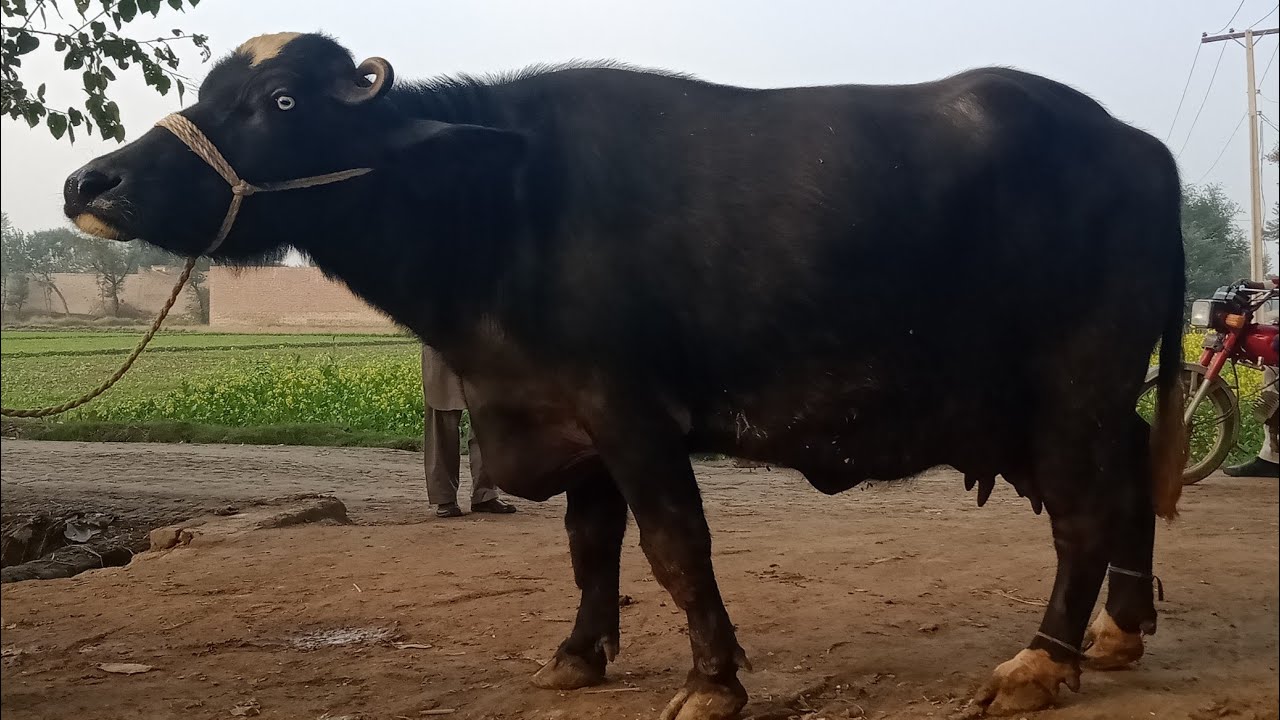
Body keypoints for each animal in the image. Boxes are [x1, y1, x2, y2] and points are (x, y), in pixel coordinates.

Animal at [64, 32, 1186, 719]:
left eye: (283, 99)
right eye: (209, 94)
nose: (90, 181)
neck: (499, 202)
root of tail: (1137, 146)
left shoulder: (630, 411)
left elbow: (673, 546)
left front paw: (711, 681)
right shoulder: (572, 417)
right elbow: (588, 548)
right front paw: (577, 654)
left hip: (1073, 383)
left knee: (1085, 511)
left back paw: (1042, 659)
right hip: (1056, 402)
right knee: (1132, 475)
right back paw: (1120, 632)